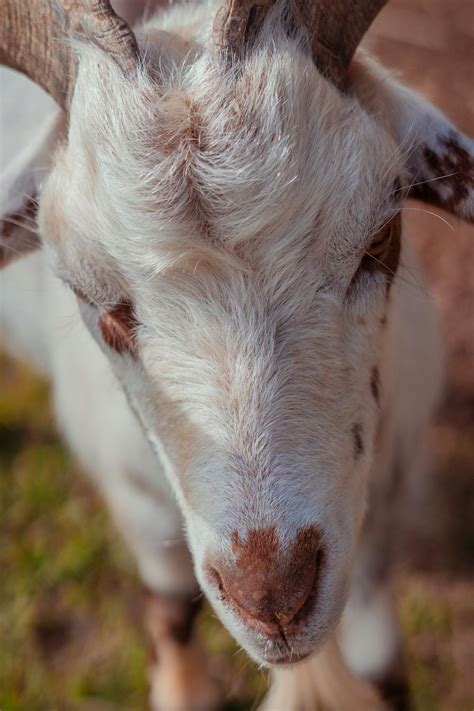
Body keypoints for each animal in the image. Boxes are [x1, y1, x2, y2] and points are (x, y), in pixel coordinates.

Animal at [1, 1, 473, 708]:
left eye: (378, 237)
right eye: (89, 294)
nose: (275, 599)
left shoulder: (382, 514)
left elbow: (381, 664)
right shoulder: (137, 505)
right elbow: (172, 619)